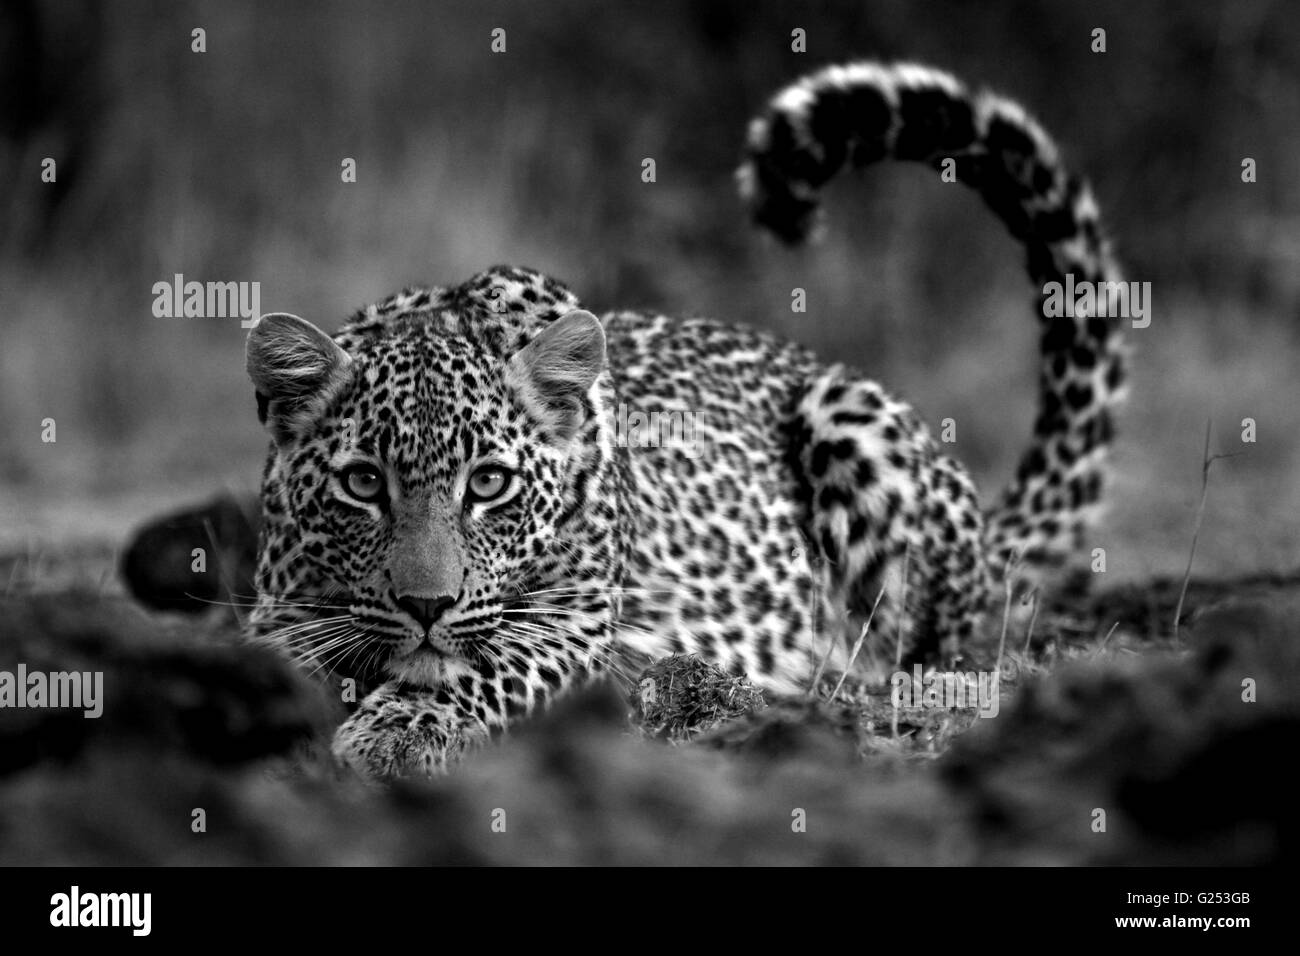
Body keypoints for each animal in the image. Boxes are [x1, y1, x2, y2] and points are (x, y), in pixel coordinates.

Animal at [244, 61, 1127, 776]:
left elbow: (480, 667)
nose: (427, 607)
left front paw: (398, 729)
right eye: (363, 484)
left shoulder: (575, 625)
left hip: (852, 419)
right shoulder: (274, 612)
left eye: (489, 484)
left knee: (917, 645)